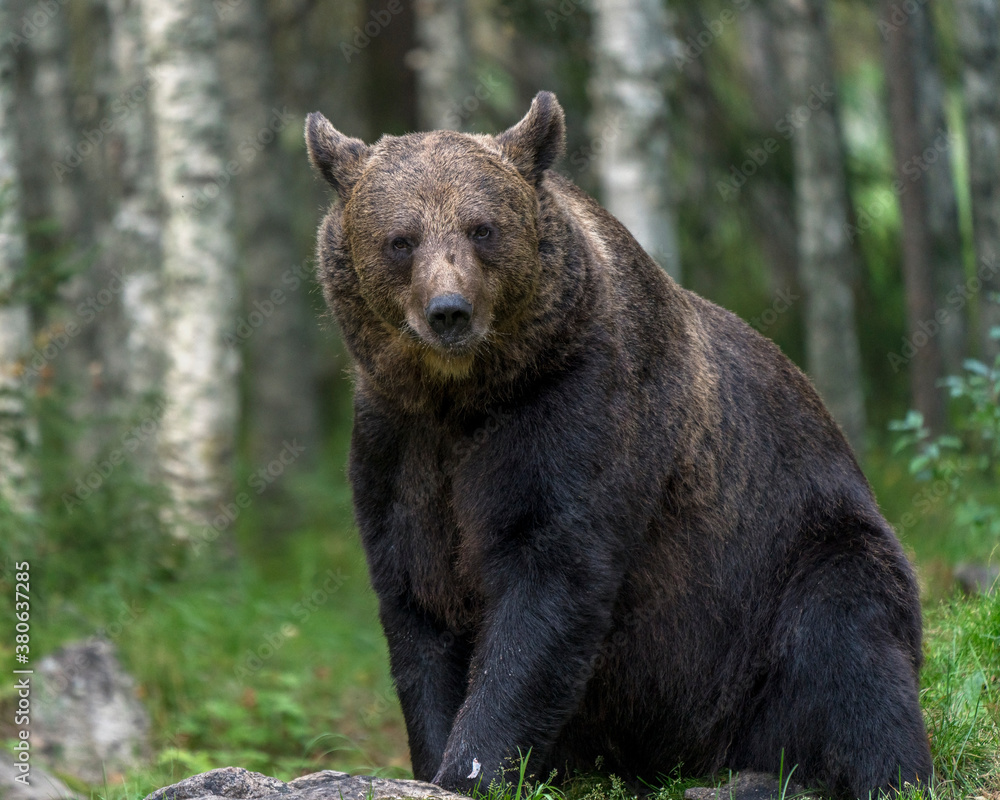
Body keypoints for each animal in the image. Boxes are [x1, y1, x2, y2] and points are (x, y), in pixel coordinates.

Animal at [304, 91, 932, 799]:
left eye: (481, 228)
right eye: (401, 239)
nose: (449, 311)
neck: (465, 396)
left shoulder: (579, 409)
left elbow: (549, 582)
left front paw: (476, 765)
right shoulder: (398, 442)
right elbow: (419, 598)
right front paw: (436, 758)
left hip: (792, 559)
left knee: (846, 635)